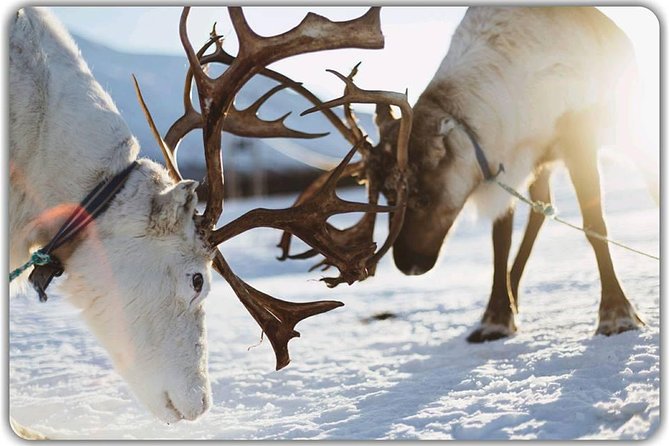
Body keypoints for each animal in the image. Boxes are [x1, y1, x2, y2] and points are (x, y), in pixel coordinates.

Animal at [280, 7, 651, 342]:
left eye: (423, 197)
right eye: (386, 196)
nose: (408, 265)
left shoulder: (577, 134)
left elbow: (594, 226)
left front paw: (617, 315)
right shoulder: (506, 161)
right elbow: (500, 241)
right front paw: (496, 318)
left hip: (624, 130)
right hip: (542, 164)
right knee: (540, 210)